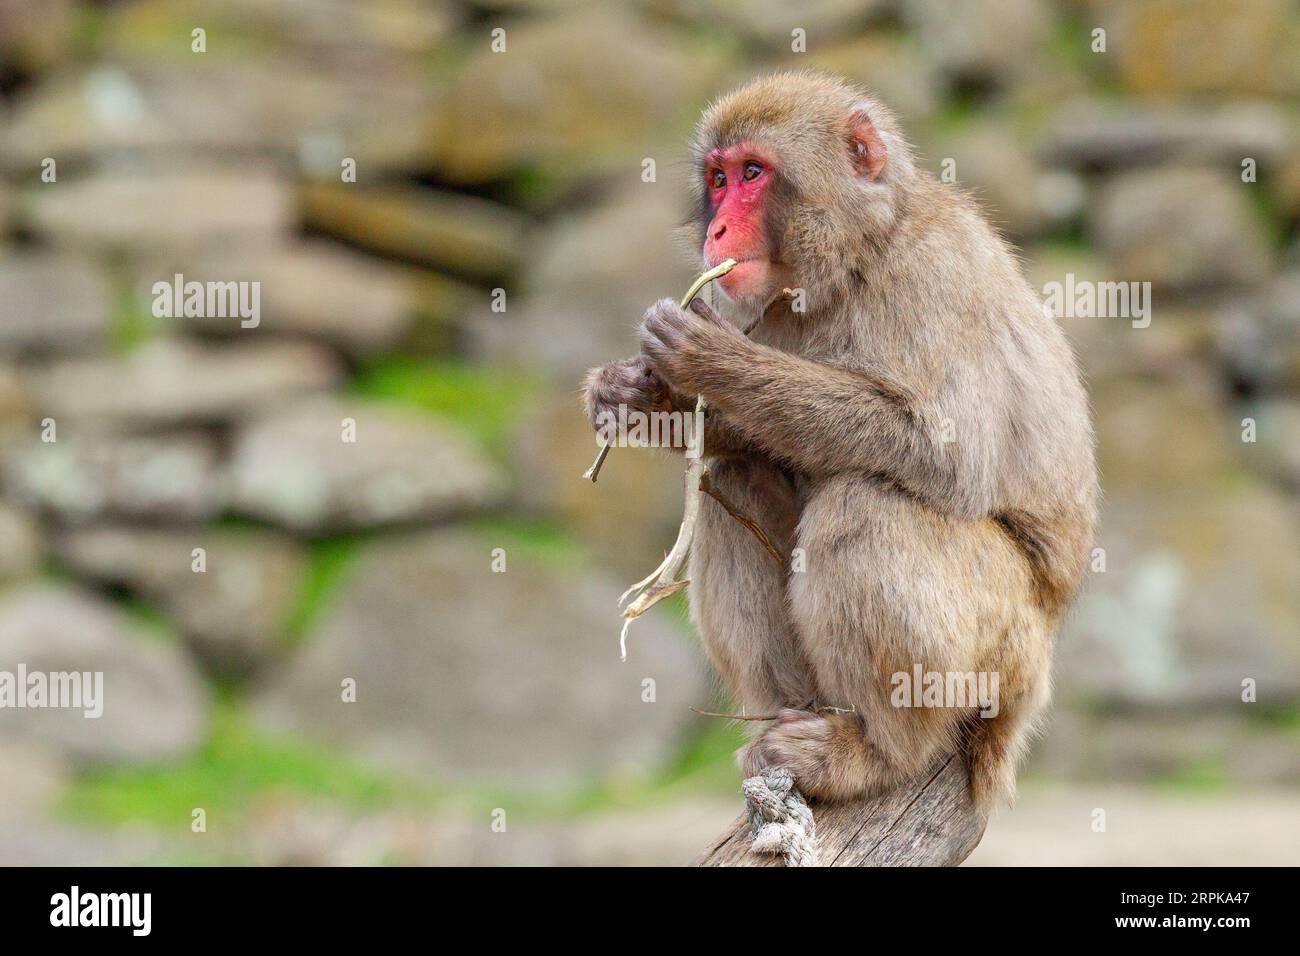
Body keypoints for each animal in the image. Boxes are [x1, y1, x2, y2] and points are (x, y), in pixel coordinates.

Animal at [583, 72, 1097, 811]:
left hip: (1005, 654)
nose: (717, 227)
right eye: (716, 178)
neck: (858, 255)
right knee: (734, 482)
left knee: (868, 504)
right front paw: (639, 395)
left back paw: (879, 755)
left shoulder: (933, 278)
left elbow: (950, 456)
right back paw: (787, 724)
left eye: (753, 173)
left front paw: (711, 360)